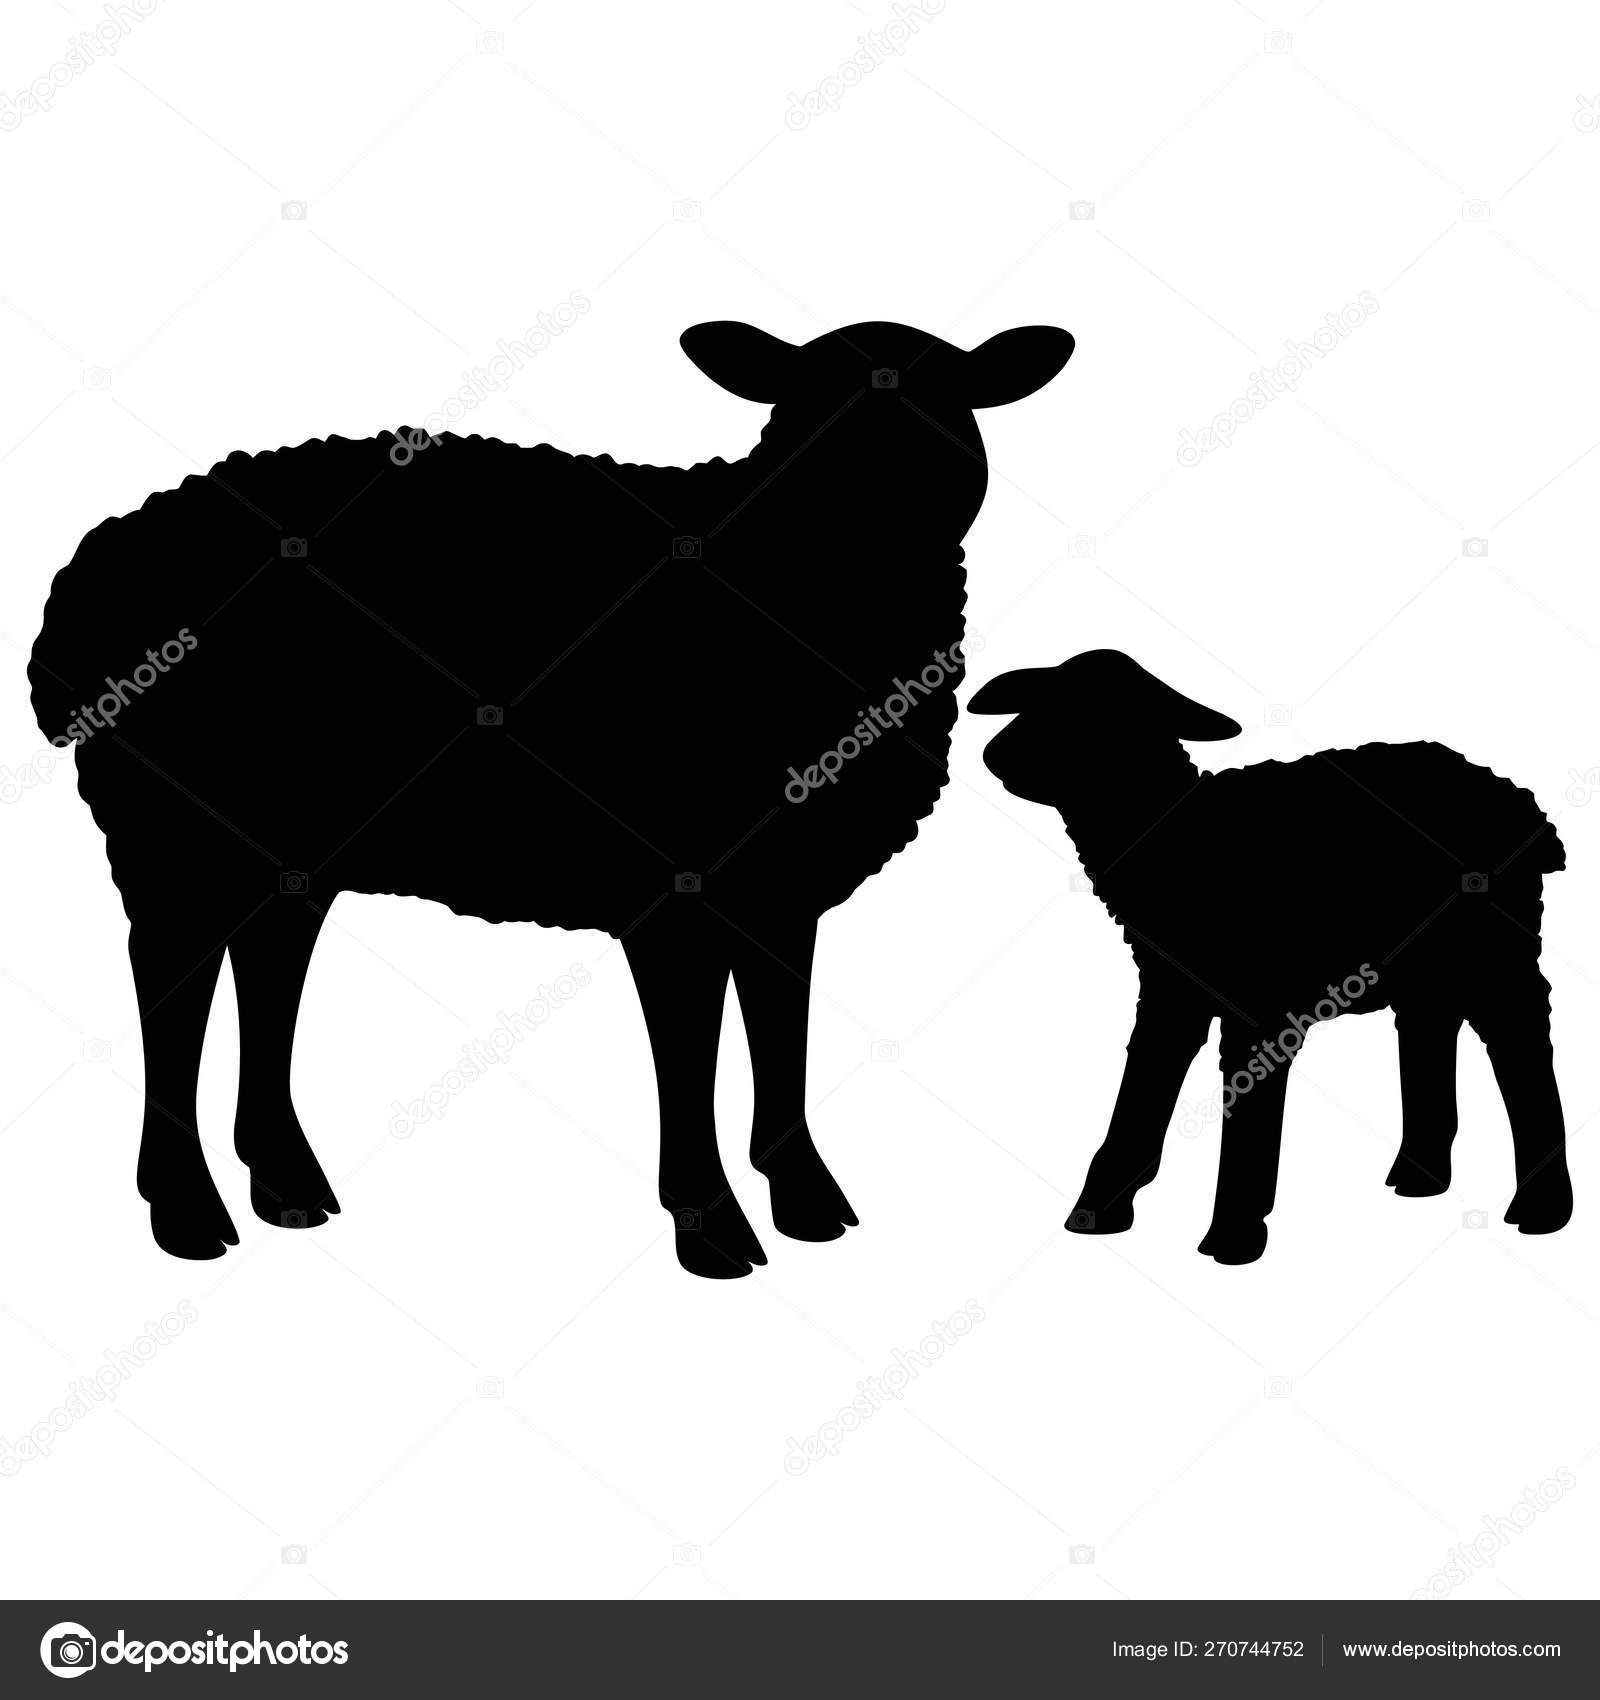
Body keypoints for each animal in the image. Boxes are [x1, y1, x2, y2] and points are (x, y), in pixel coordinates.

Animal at [31, 319, 1074, 1278]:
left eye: (948, 404)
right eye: (800, 412)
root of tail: (92, 568)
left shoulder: (784, 887)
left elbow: (785, 1037)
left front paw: (810, 1203)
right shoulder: (676, 888)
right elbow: (689, 1054)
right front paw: (711, 1228)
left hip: (287, 842)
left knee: (268, 963)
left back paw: (285, 1184)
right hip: (171, 829)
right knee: (170, 983)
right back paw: (186, 1212)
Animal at [971, 649, 1571, 1264]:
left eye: (1104, 712)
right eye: (1038, 694)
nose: (1000, 754)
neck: (1175, 835)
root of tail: (1526, 808)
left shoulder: (1258, 999)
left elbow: (1246, 1097)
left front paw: (1232, 1235)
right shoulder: (1169, 986)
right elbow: (1144, 1077)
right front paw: (1098, 1209)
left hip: (1497, 948)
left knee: (1520, 1035)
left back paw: (1542, 1208)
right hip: (1429, 962)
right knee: (1430, 1024)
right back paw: (1419, 1177)